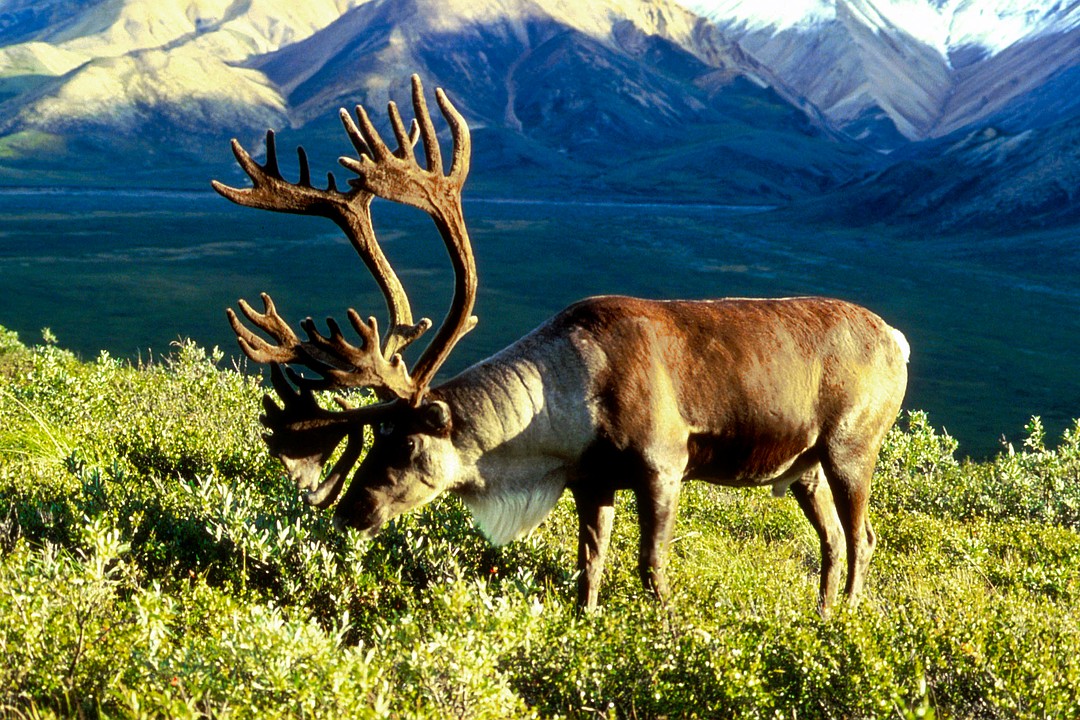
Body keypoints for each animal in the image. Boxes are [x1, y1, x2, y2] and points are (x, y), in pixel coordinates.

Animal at [213, 75, 909, 614]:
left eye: (407, 444)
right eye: (374, 437)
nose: (351, 510)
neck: (562, 410)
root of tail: (898, 339)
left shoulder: (664, 463)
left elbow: (651, 570)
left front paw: (668, 635)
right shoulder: (590, 481)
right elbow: (589, 568)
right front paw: (585, 626)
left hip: (850, 447)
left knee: (863, 538)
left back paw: (846, 623)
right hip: (803, 467)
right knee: (833, 540)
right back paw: (820, 618)